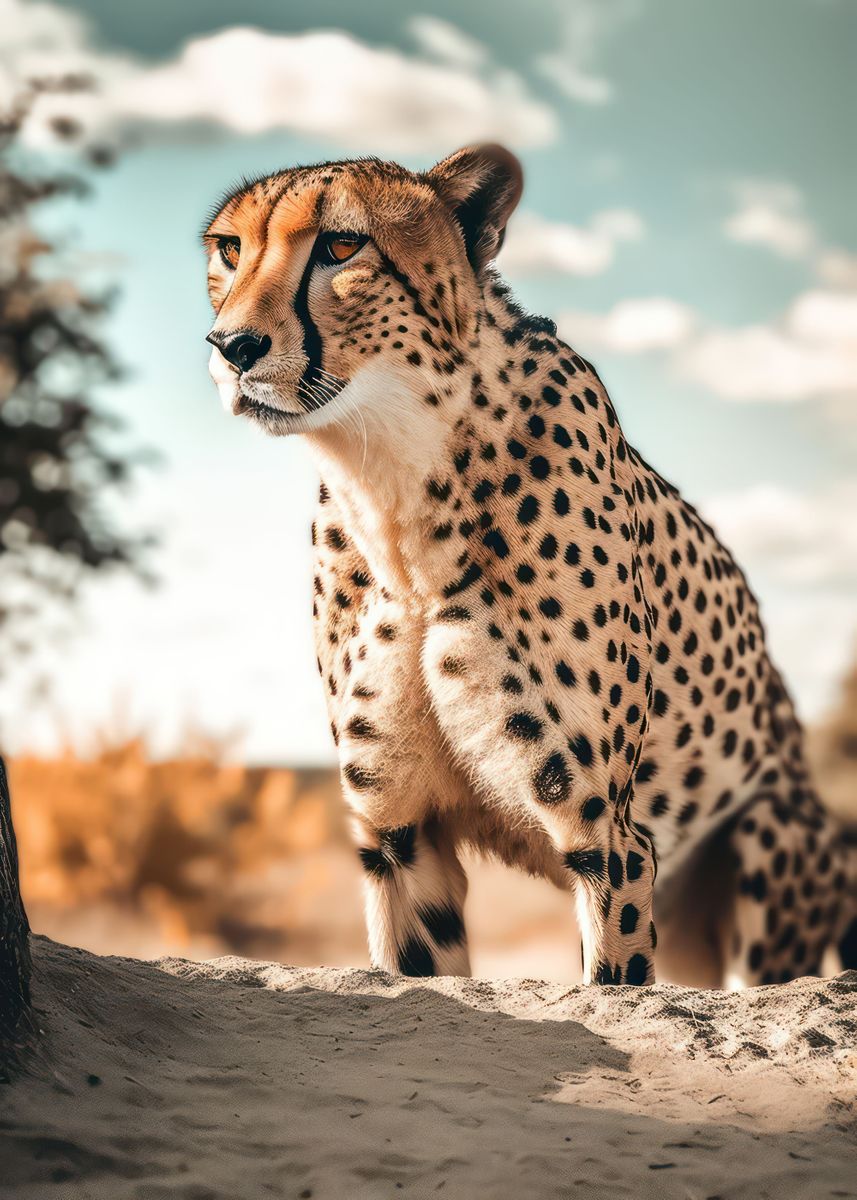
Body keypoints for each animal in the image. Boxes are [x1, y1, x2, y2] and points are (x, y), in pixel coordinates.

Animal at [202, 143, 857, 987]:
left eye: (341, 246)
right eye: (229, 250)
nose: (231, 347)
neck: (396, 490)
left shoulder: (608, 841)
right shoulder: (399, 835)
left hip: (768, 843)